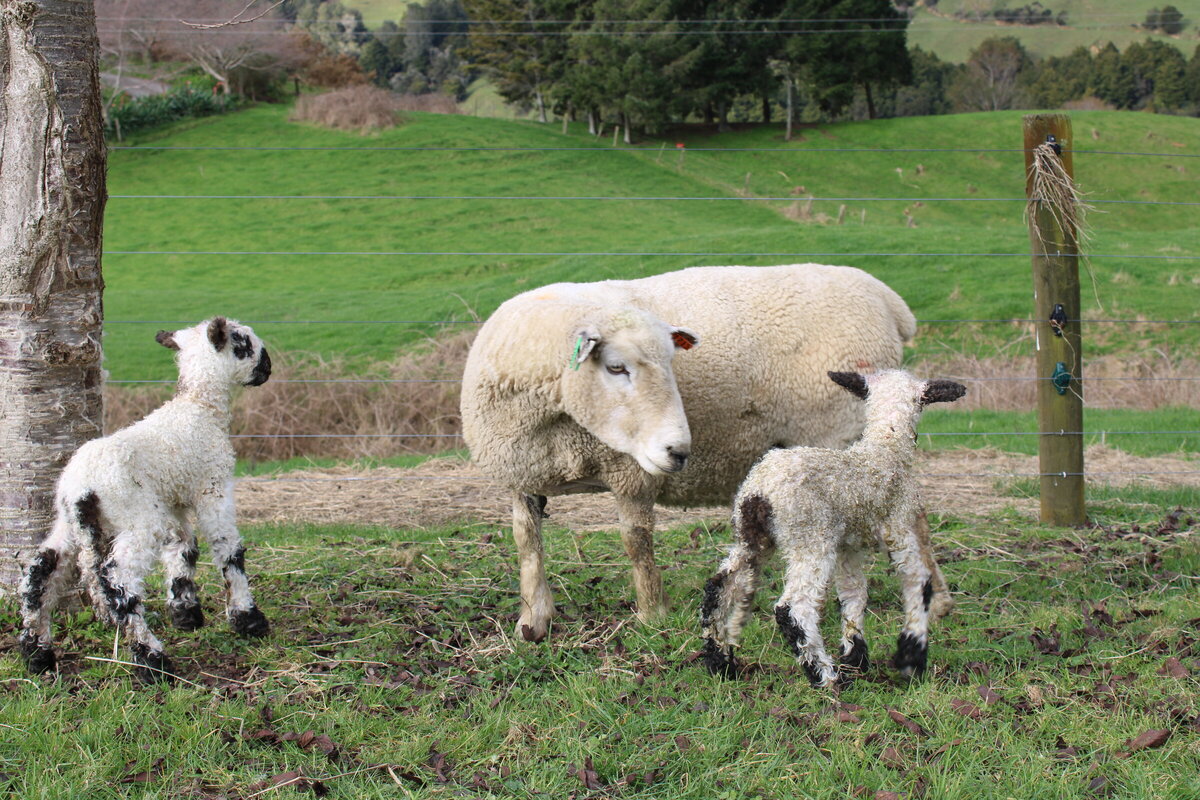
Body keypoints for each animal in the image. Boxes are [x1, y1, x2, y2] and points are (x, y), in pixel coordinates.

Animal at [17, 317, 273, 682]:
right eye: (244, 344)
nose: (268, 367)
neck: (198, 408)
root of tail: (80, 490)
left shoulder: (173, 498)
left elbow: (183, 549)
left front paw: (185, 613)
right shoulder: (212, 485)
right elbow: (227, 549)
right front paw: (248, 619)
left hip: (68, 524)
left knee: (39, 574)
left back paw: (37, 654)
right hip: (137, 518)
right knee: (118, 581)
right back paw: (152, 660)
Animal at [461, 263, 952, 642]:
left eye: (671, 364)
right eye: (616, 367)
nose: (679, 449)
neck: (557, 420)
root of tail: (888, 300)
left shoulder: (630, 473)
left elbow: (636, 542)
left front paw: (651, 614)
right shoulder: (522, 474)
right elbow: (527, 543)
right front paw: (533, 622)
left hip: (843, 431)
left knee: (912, 515)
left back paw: (932, 598)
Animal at [700, 369, 966, 688]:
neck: (885, 447)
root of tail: (760, 491)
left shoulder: (848, 547)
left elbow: (854, 593)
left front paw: (855, 657)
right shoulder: (900, 530)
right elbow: (919, 584)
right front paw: (911, 659)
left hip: (752, 537)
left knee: (719, 587)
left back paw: (721, 663)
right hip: (811, 537)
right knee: (794, 608)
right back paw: (824, 675)